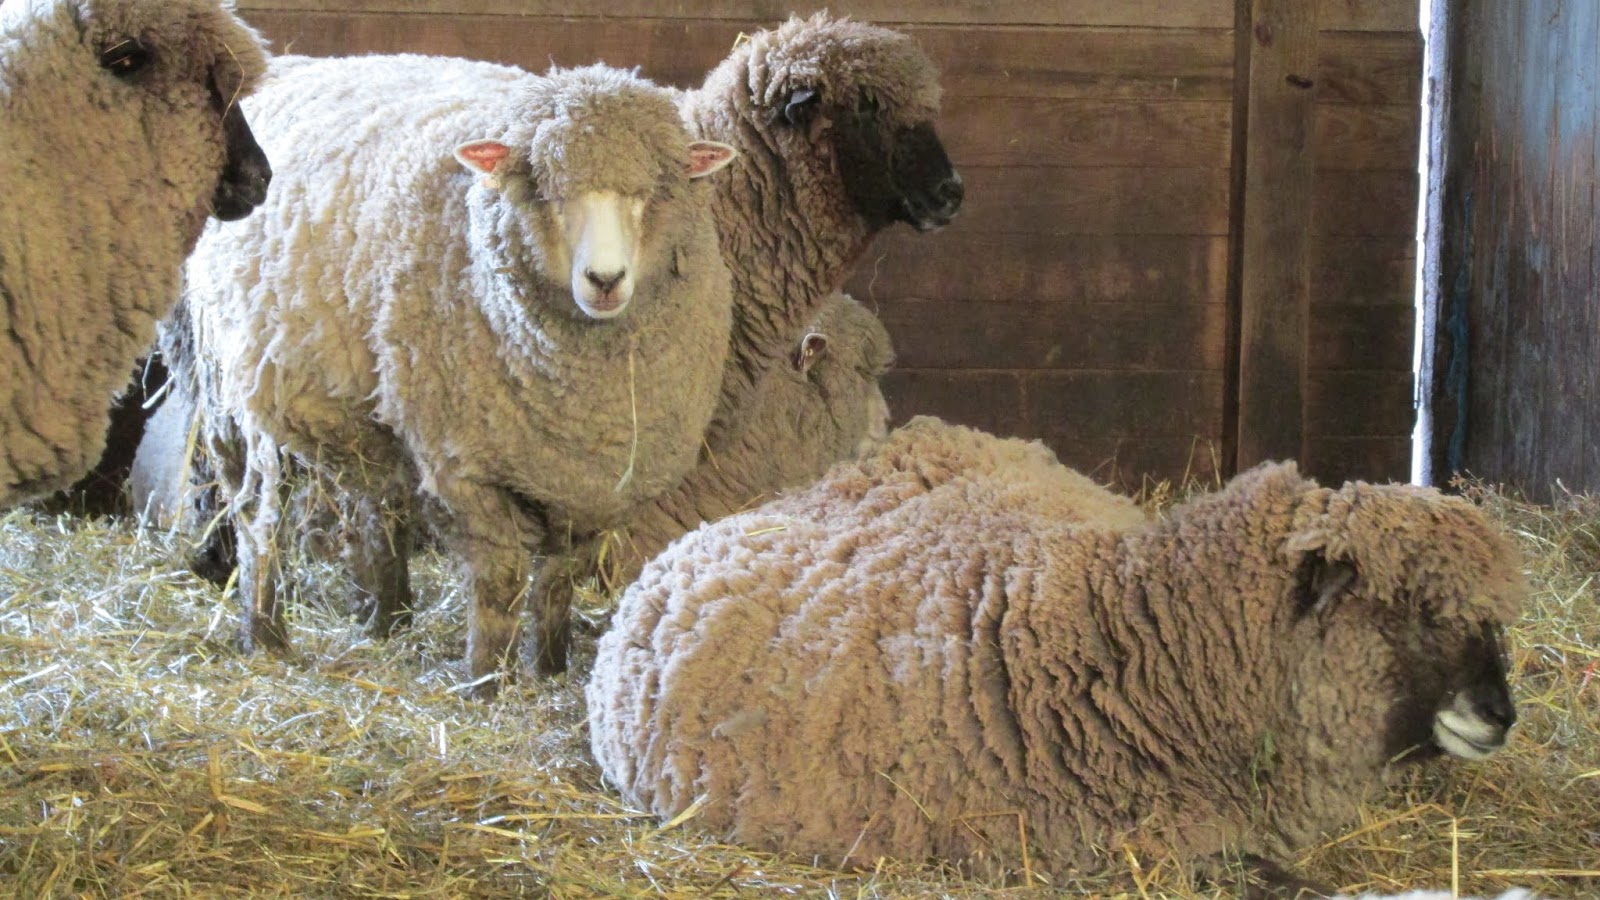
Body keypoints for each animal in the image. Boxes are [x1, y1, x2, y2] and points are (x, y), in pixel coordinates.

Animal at [174, 55, 737, 695]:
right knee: (256, 517)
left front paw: (549, 665)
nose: (605, 280)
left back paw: (386, 617)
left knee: (376, 502)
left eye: (651, 193)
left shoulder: (592, 484)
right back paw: (264, 632)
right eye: (543, 189)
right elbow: (500, 578)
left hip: (366, 410)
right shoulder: (464, 463)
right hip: (232, 384)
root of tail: (291, 62)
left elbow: (558, 578)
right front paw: (487, 679)